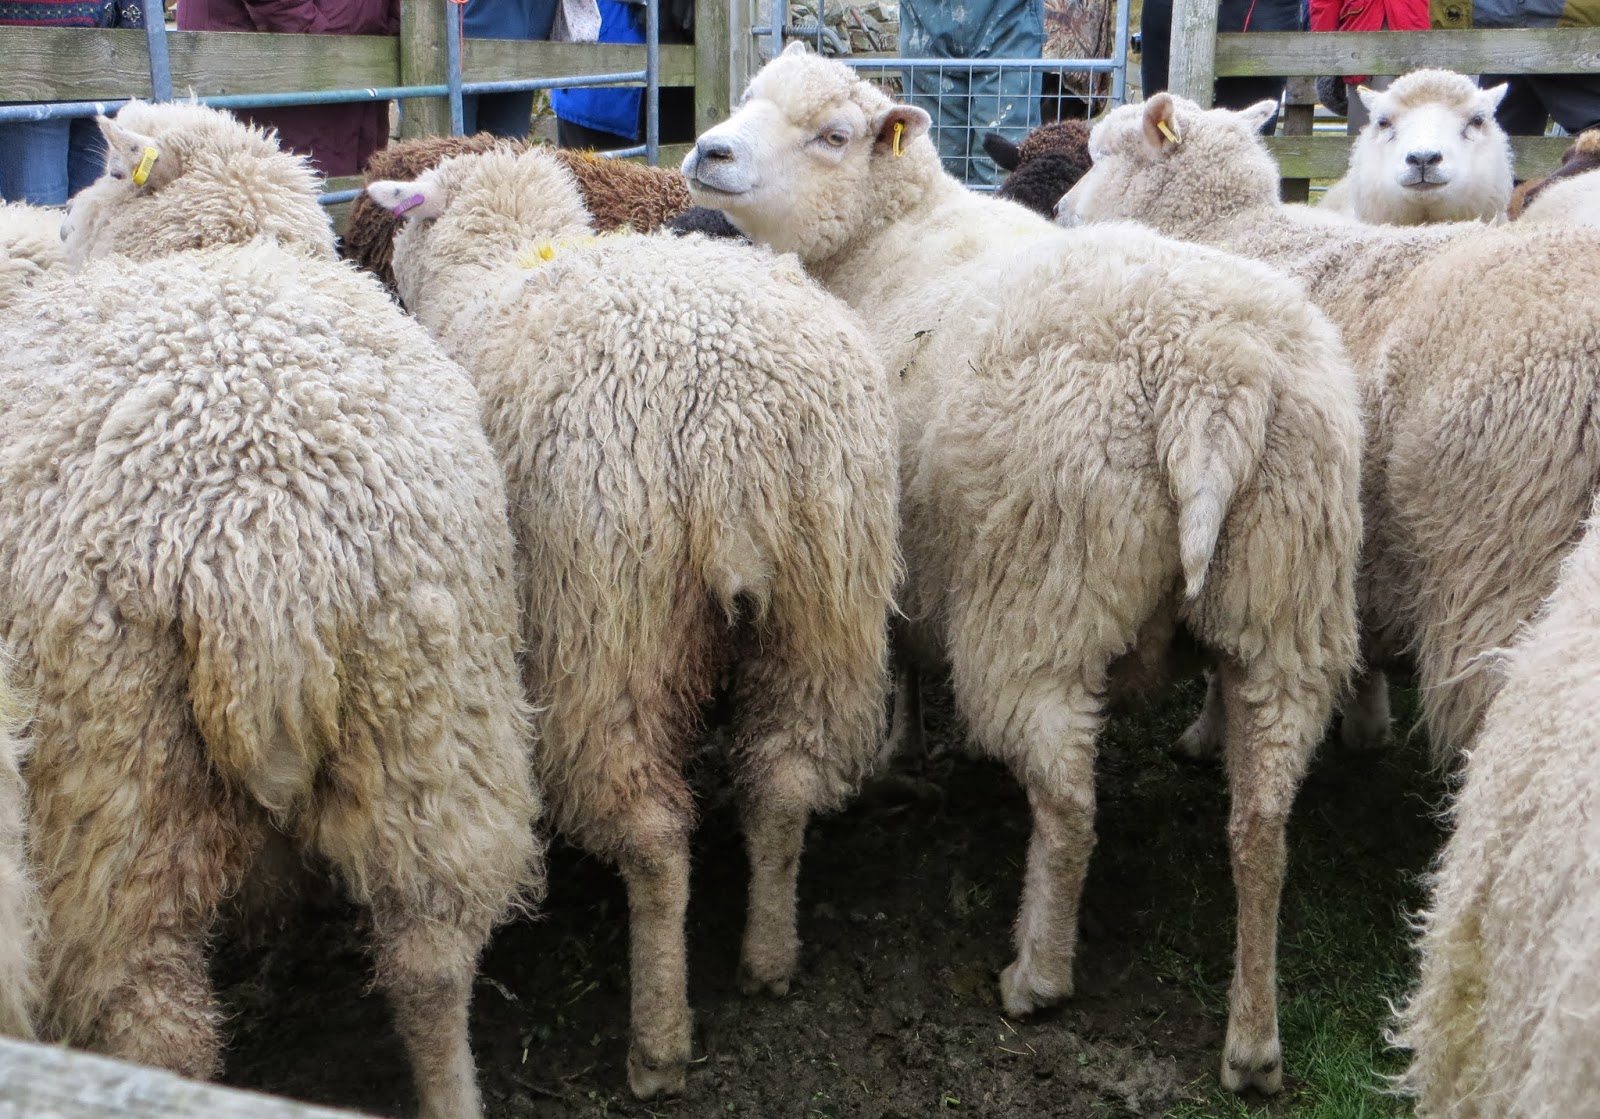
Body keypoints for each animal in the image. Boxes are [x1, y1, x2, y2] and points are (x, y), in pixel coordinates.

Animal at [17, 100, 541, 1119]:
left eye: (101, 179)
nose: (59, 234)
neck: (228, 245)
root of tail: (256, 532)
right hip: (426, 699)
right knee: (430, 953)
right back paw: (450, 1086)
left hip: (114, 769)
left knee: (153, 1017)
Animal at [366, 143, 900, 1099]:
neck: (497, 261)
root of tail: (732, 422)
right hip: (825, 601)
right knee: (784, 780)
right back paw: (769, 957)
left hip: (612, 625)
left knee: (653, 835)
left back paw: (657, 1040)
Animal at [683, 43, 1364, 1095]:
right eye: (750, 98)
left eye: (832, 135)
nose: (708, 151)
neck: (886, 239)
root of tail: (1217, 385)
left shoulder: (902, 543)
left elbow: (907, 658)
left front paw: (900, 752)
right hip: (1284, 609)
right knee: (1261, 829)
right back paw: (1252, 1043)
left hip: (1044, 598)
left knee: (1071, 804)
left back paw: (1036, 973)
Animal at [1060, 92, 1600, 763]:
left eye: (1101, 154)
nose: (1058, 212)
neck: (1226, 230)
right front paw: (1367, 724)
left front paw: (1207, 735)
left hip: (1503, 556)